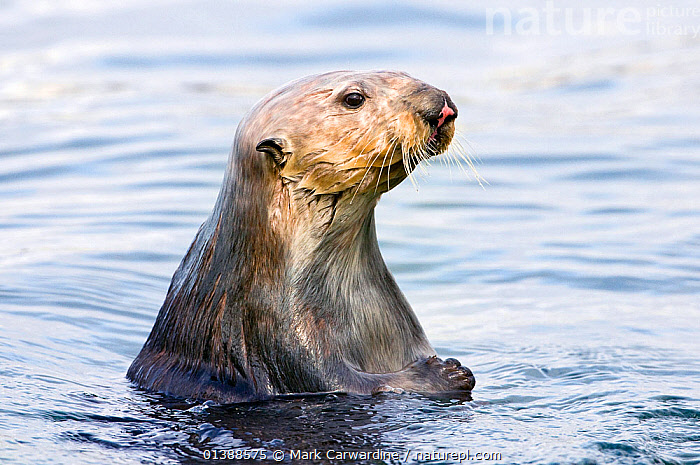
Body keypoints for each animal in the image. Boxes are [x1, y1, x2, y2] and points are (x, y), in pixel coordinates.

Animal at [127, 71, 475, 402]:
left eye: (402, 72)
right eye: (354, 98)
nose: (441, 106)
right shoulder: (281, 336)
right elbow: (352, 384)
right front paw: (446, 373)